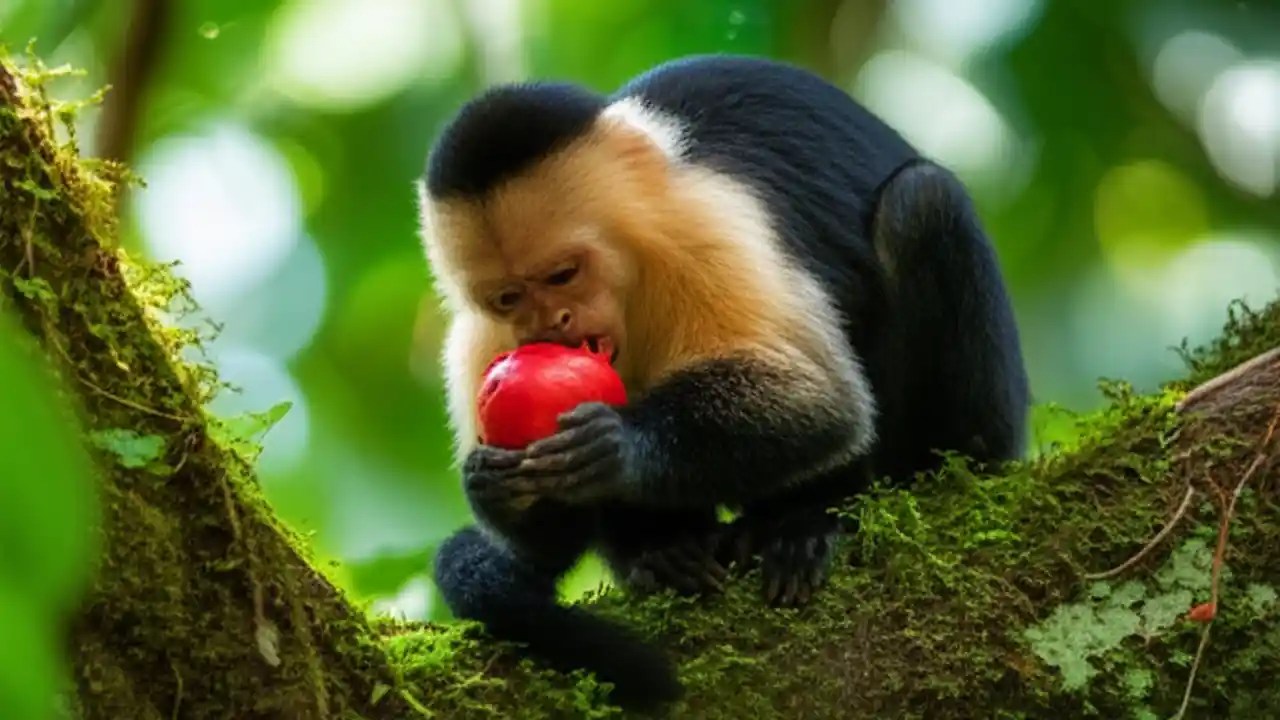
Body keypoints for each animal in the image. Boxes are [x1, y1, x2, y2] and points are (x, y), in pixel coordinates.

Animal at [415, 53, 1030, 712]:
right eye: (509, 298)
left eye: (563, 274)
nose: (550, 324)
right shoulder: (478, 343)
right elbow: (544, 550)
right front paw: (494, 485)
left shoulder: (703, 231)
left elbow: (825, 404)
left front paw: (621, 445)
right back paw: (662, 552)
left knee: (922, 204)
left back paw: (826, 515)